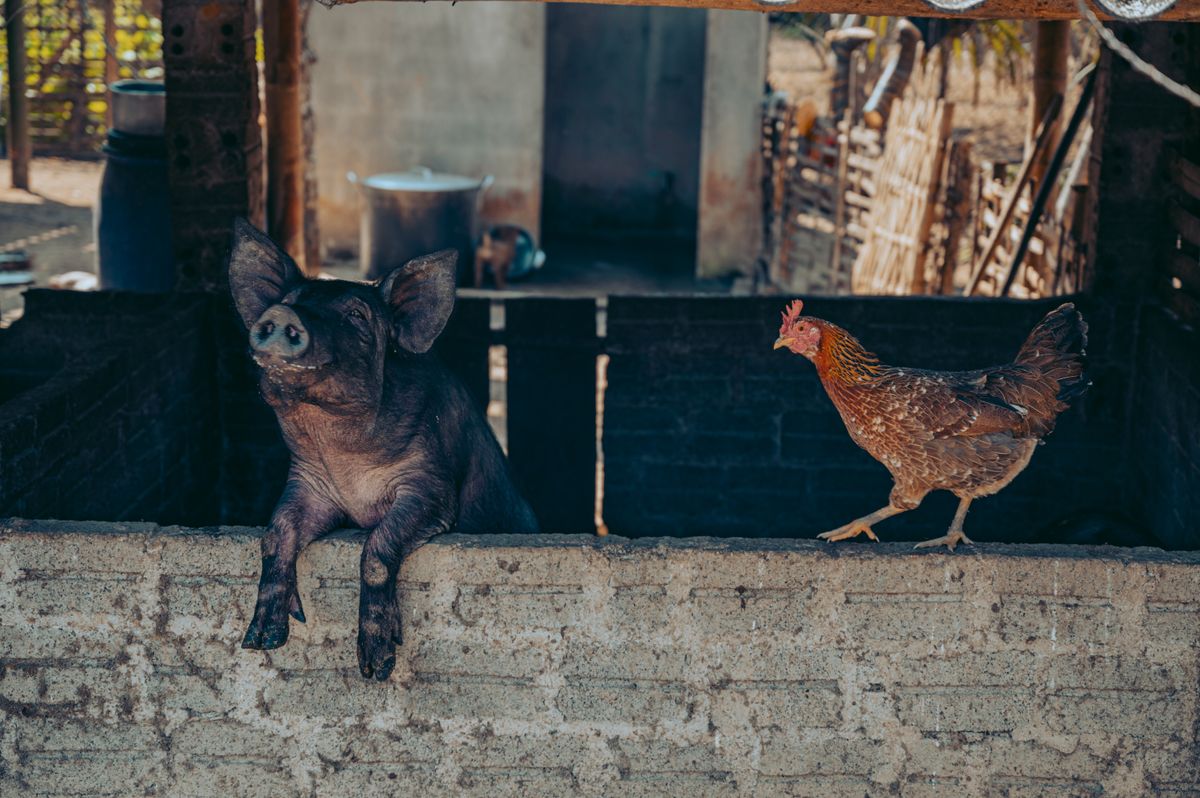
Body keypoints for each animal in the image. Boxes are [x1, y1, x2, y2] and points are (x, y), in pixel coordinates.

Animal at [229, 218, 537, 681]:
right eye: (290, 302)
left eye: (357, 315)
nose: (282, 314)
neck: (346, 462)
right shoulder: (308, 483)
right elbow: (274, 533)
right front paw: (261, 640)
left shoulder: (431, 487)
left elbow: (376, 548)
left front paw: (376, 667)